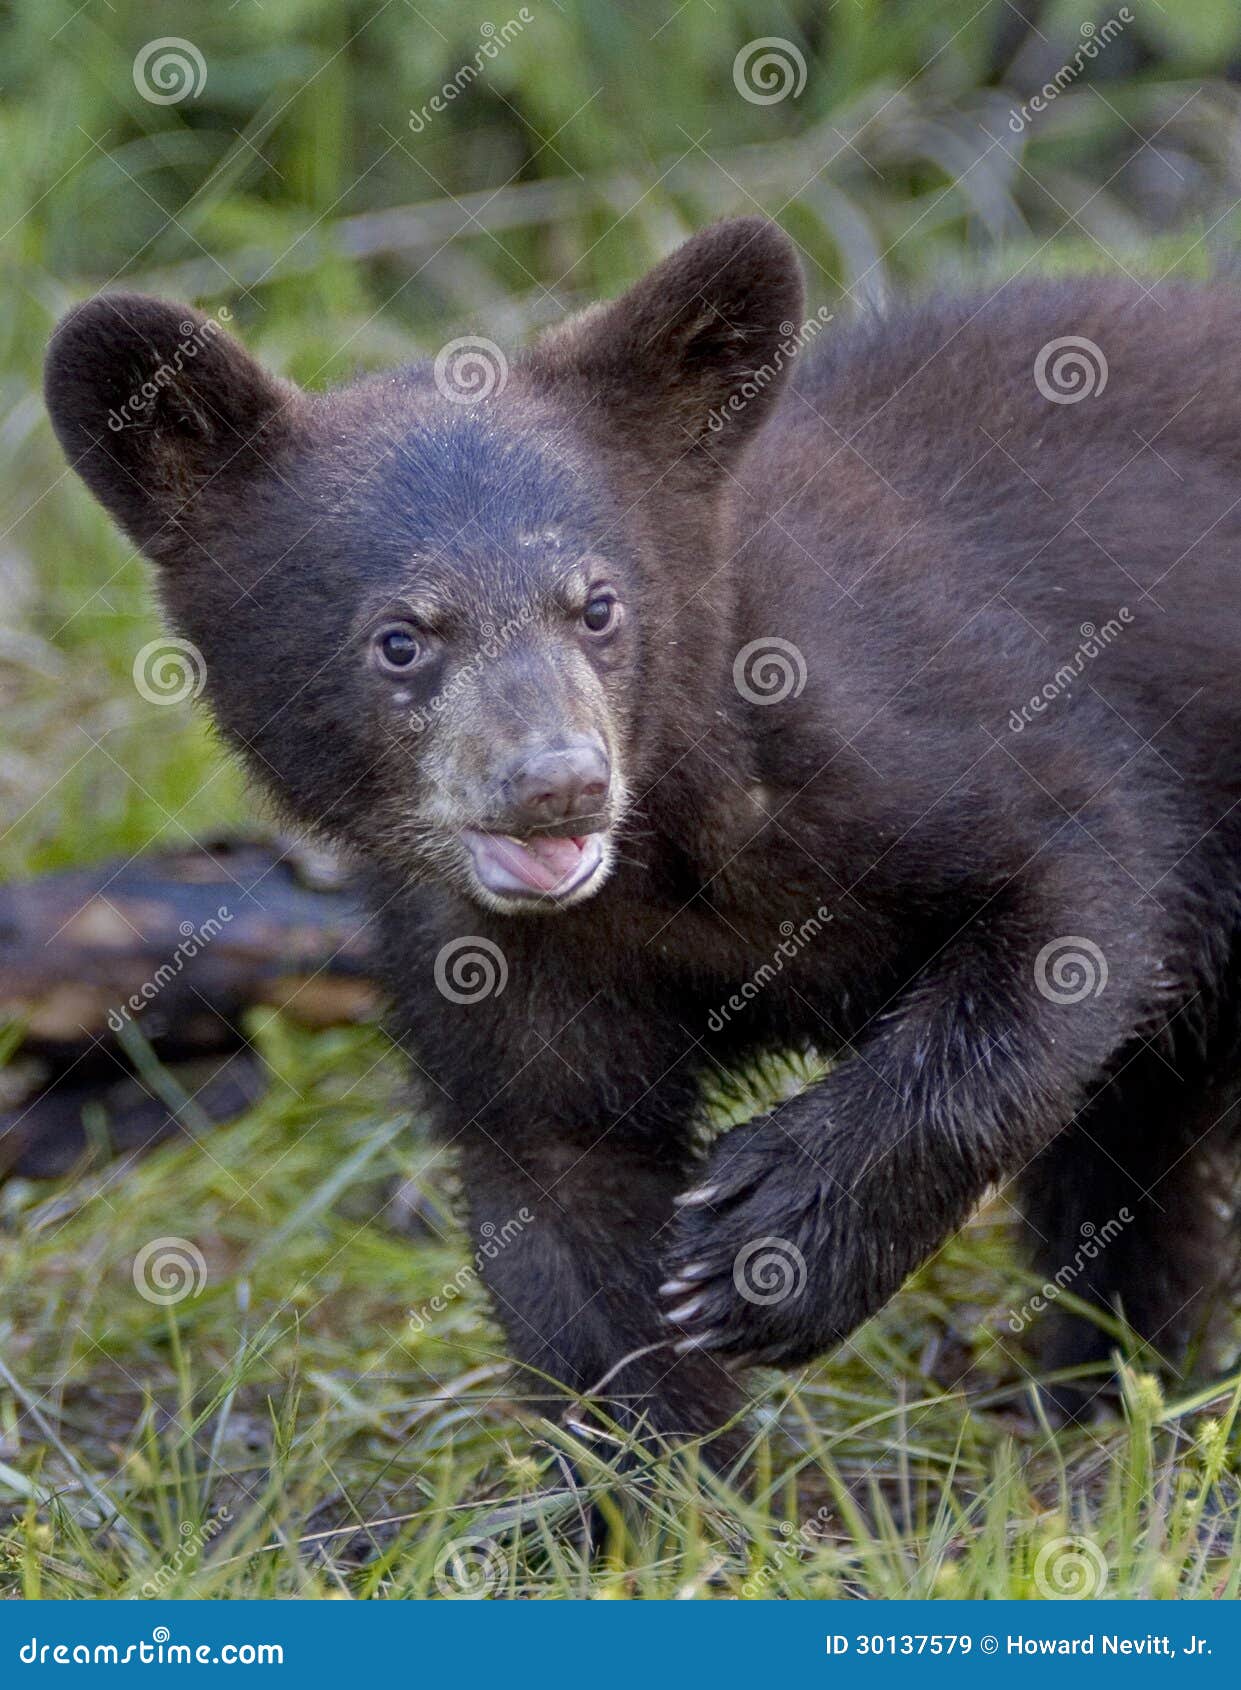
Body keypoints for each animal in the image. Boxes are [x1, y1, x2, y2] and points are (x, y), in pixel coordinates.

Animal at [44, 217, 1241, 1465]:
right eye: (399, 638)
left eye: (597, 603)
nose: (556, 785)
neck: (667, 855)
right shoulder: (499, 956)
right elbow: (565, 1189)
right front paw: (665, 1484)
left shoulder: (938, 721)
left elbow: (1071, 888)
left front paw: (772, 1244)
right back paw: (1102, 1381)